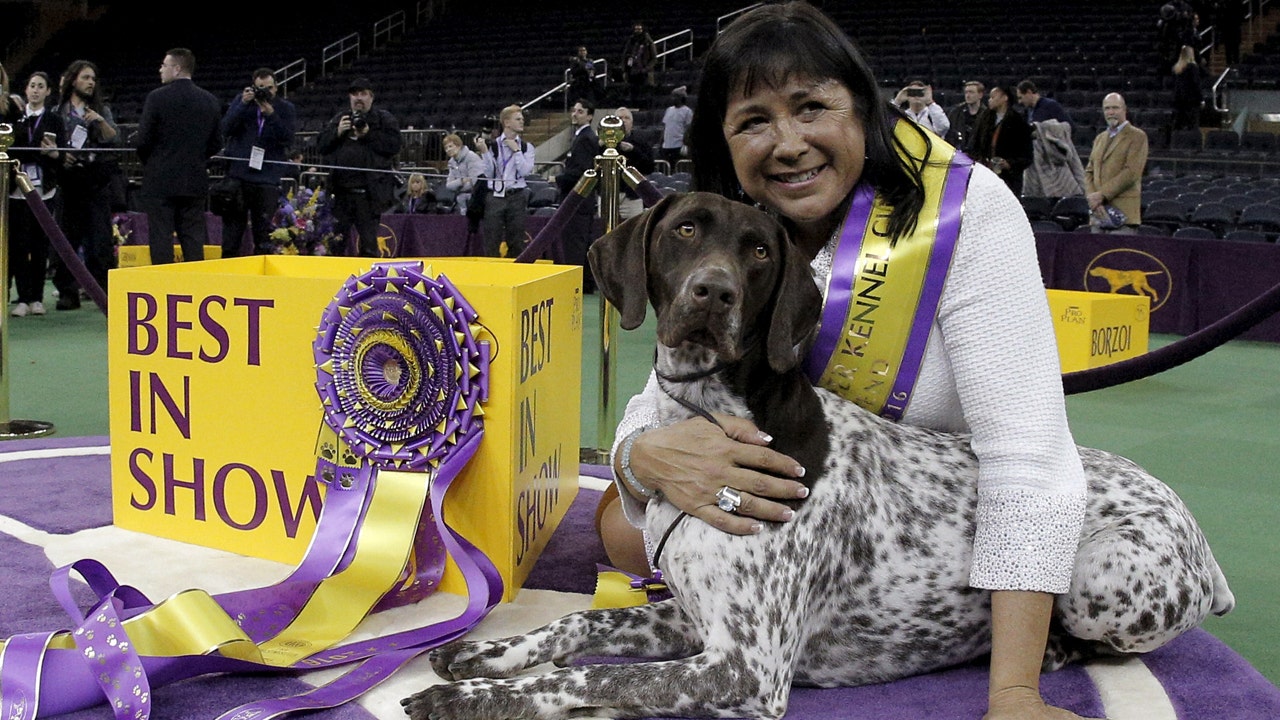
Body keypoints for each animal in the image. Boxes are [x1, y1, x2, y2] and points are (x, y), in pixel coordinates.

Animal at [404, 192, 1233, 717]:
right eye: (684, 232)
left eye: (757, 251)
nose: (712, 294)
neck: (714, 415)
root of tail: (1199, 538)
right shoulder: (694, 622)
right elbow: (576, 628)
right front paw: (484, 657)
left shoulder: (747, 666)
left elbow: (588, 677)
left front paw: (473, 699)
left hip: (1100, 574)